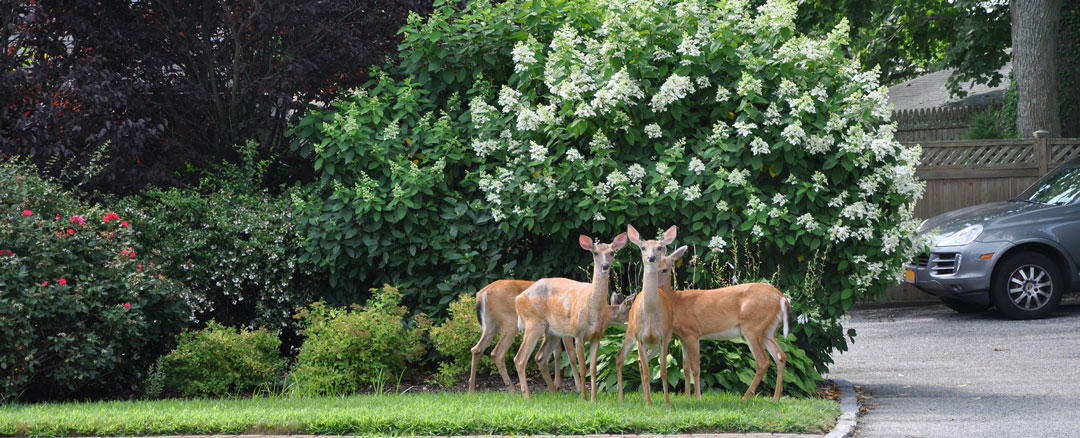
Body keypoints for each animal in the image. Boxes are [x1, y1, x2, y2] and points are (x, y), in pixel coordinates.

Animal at [469, 280, 636, 394]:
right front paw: (577, 387)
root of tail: (482, 293)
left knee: (477, 349)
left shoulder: (554, 332)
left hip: (491, 325)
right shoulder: (567, 331)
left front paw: (558, 386)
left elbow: (556, 354)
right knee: (498, 353)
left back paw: (472, 390)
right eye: (629, 312)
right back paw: (514, 391)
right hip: (510, 323)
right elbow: (570, 356)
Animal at [513, 232, 628, 401]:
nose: (605, 266)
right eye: (595, 253)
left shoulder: (597, 336)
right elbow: (582, 366)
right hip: (533, 323)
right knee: (520, 359)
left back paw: (554, 393)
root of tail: (518, 298)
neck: (593, 307)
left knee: (540, 357)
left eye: (612, 252)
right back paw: (527, 396)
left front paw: (593, 399)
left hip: (552, 331)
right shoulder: (577, 333)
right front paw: (583, 398)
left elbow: (593, 369)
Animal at [614, 225, 680, 406]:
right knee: (620, 357)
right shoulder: (640, 338)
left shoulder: (665, 337)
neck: (650, 313)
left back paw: (644, 396)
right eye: (643, 247)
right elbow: (646, 373)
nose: (651, 258)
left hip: (656, 344)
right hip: (630, 332)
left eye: (659, 247)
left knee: (639, 362)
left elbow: (663, 372)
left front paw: (667, 404)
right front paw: (649, 405)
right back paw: (621, 398)